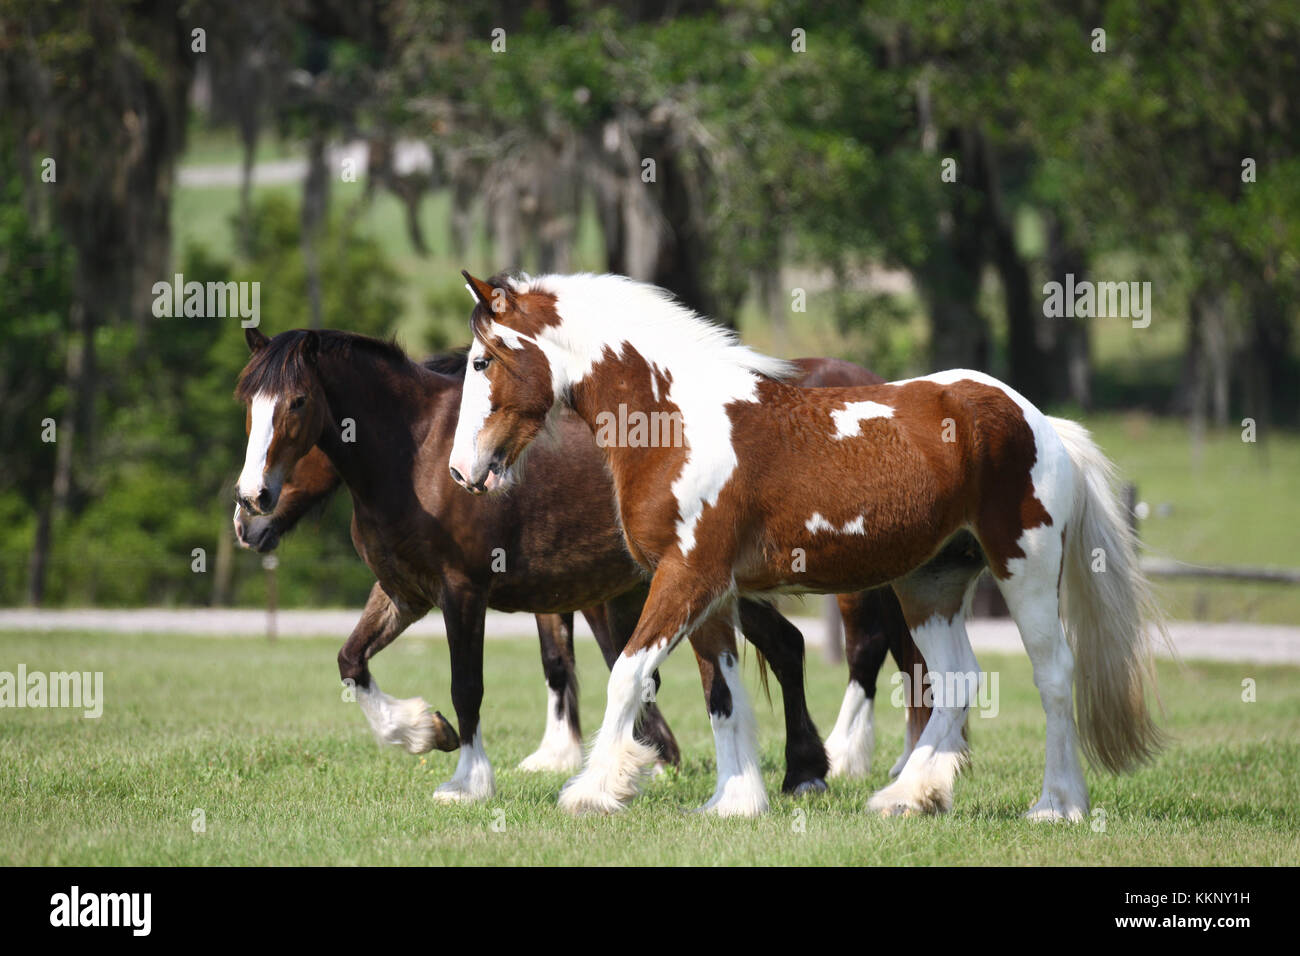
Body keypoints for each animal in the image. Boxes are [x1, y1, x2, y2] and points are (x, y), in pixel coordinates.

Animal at [232, 329, 930, 803]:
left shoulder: (465, 593)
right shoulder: (406, 593)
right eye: (248, 403)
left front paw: (470, 779)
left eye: (297, 402)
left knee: (854, 647)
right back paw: (808, 771)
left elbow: (470, 686)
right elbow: (352, 661)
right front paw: (423, 731)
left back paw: (835, 763)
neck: (422, 457)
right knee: (792, 646)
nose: (249, 508)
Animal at [448, 270, 1168, 820]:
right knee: (956, 680)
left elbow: (628, 674)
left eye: (483, 361)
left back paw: (1057, 804)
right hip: (930, 583)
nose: (462, 470)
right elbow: (722, 695)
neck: (675, 420)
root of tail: (1038, 419)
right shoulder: (712, 593)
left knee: (1053, 675)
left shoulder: (686, 578)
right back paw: (907, 796)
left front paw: (593, 791)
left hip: (1025, 568)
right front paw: (736, 803)